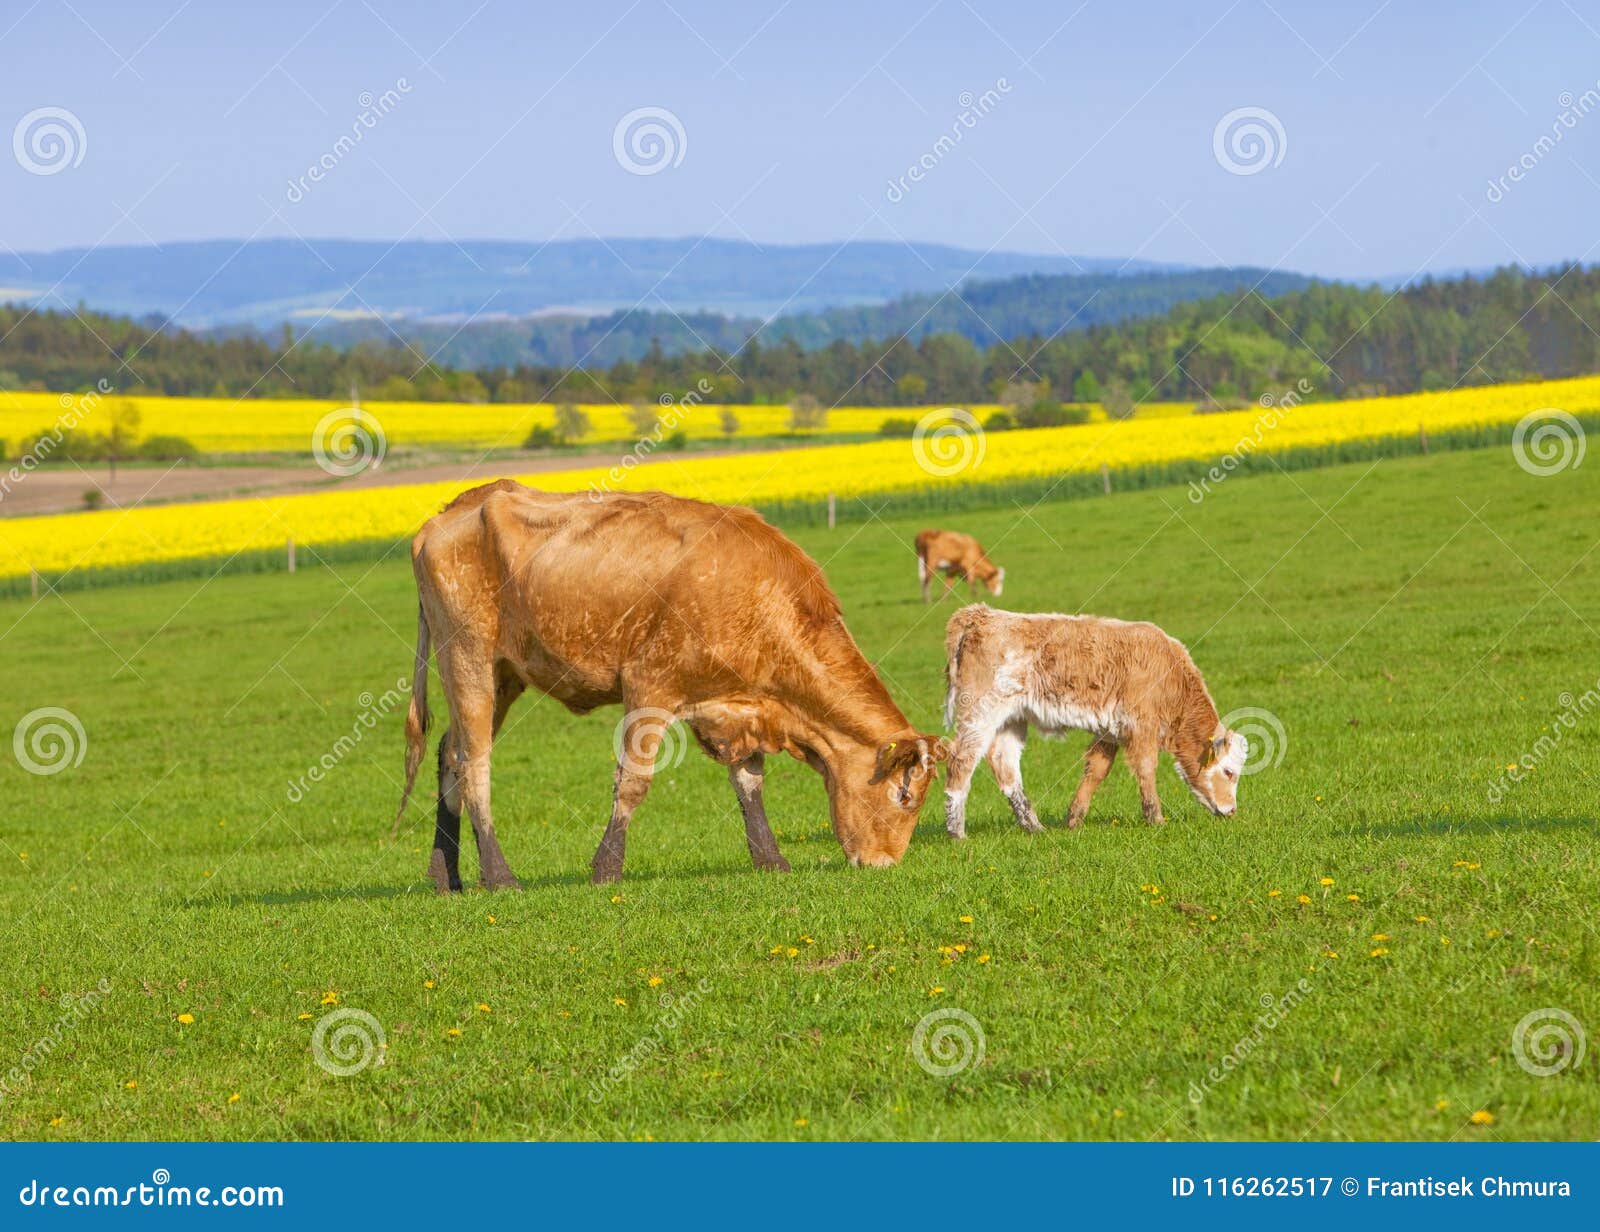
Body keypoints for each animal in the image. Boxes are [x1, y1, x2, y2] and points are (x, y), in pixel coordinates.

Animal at [393, 480, 947, 890]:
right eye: (904, 796)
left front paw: (770, 860)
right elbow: (633, 783)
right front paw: (607, 869)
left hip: (503, 676)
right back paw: (499, 876)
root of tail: (455, 507)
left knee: (450, 752)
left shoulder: (734, 706)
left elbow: (749, 783)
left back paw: (445, 876)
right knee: (474, 764)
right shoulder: (649, 687)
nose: (884, 863)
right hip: (468, 660)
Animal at [940, 604, 1248, 837]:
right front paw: (1156, 818)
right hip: (980, 712)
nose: (1232, 810)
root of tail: (980, 614)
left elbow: (1097, 770)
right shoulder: (1141, 726)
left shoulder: (1110, 731)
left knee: (1004, 764)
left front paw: (1074, 818)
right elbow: (1147, 768)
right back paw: (957, 833)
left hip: (1012, 719)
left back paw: (1033, 826)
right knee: (961, 761)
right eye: (1229, 772)